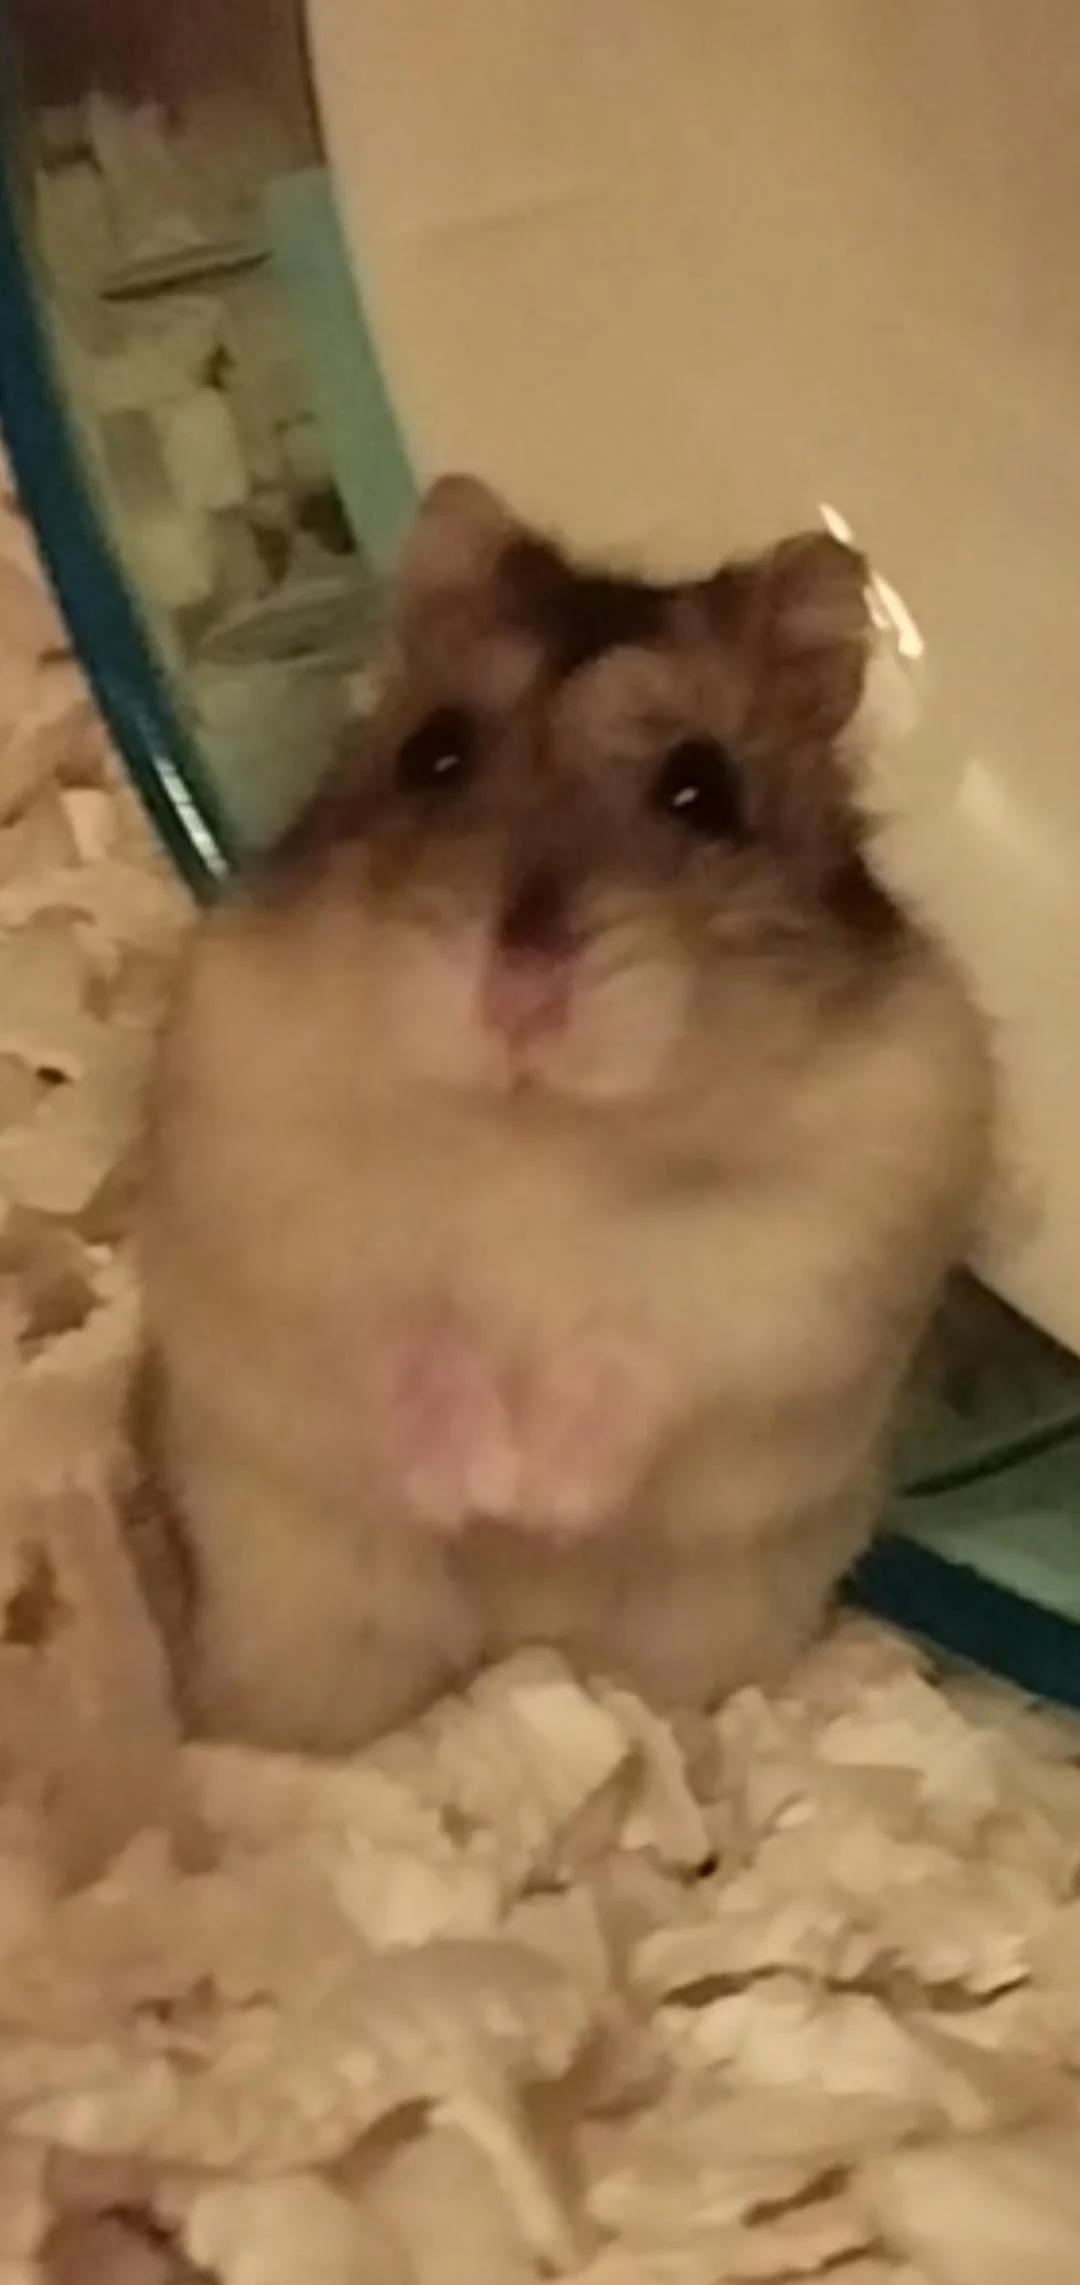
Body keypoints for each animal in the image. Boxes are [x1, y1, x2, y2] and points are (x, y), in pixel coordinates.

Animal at [134, 475, 992, 1754]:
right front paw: (480, 1491)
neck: (539, 1141)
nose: (522, 988)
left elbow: (643, 1349)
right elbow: (413, 1331)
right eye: (432, 754)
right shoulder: (275, 1181)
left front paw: (545, 1504)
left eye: (703, 788)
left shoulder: (811, 1240)